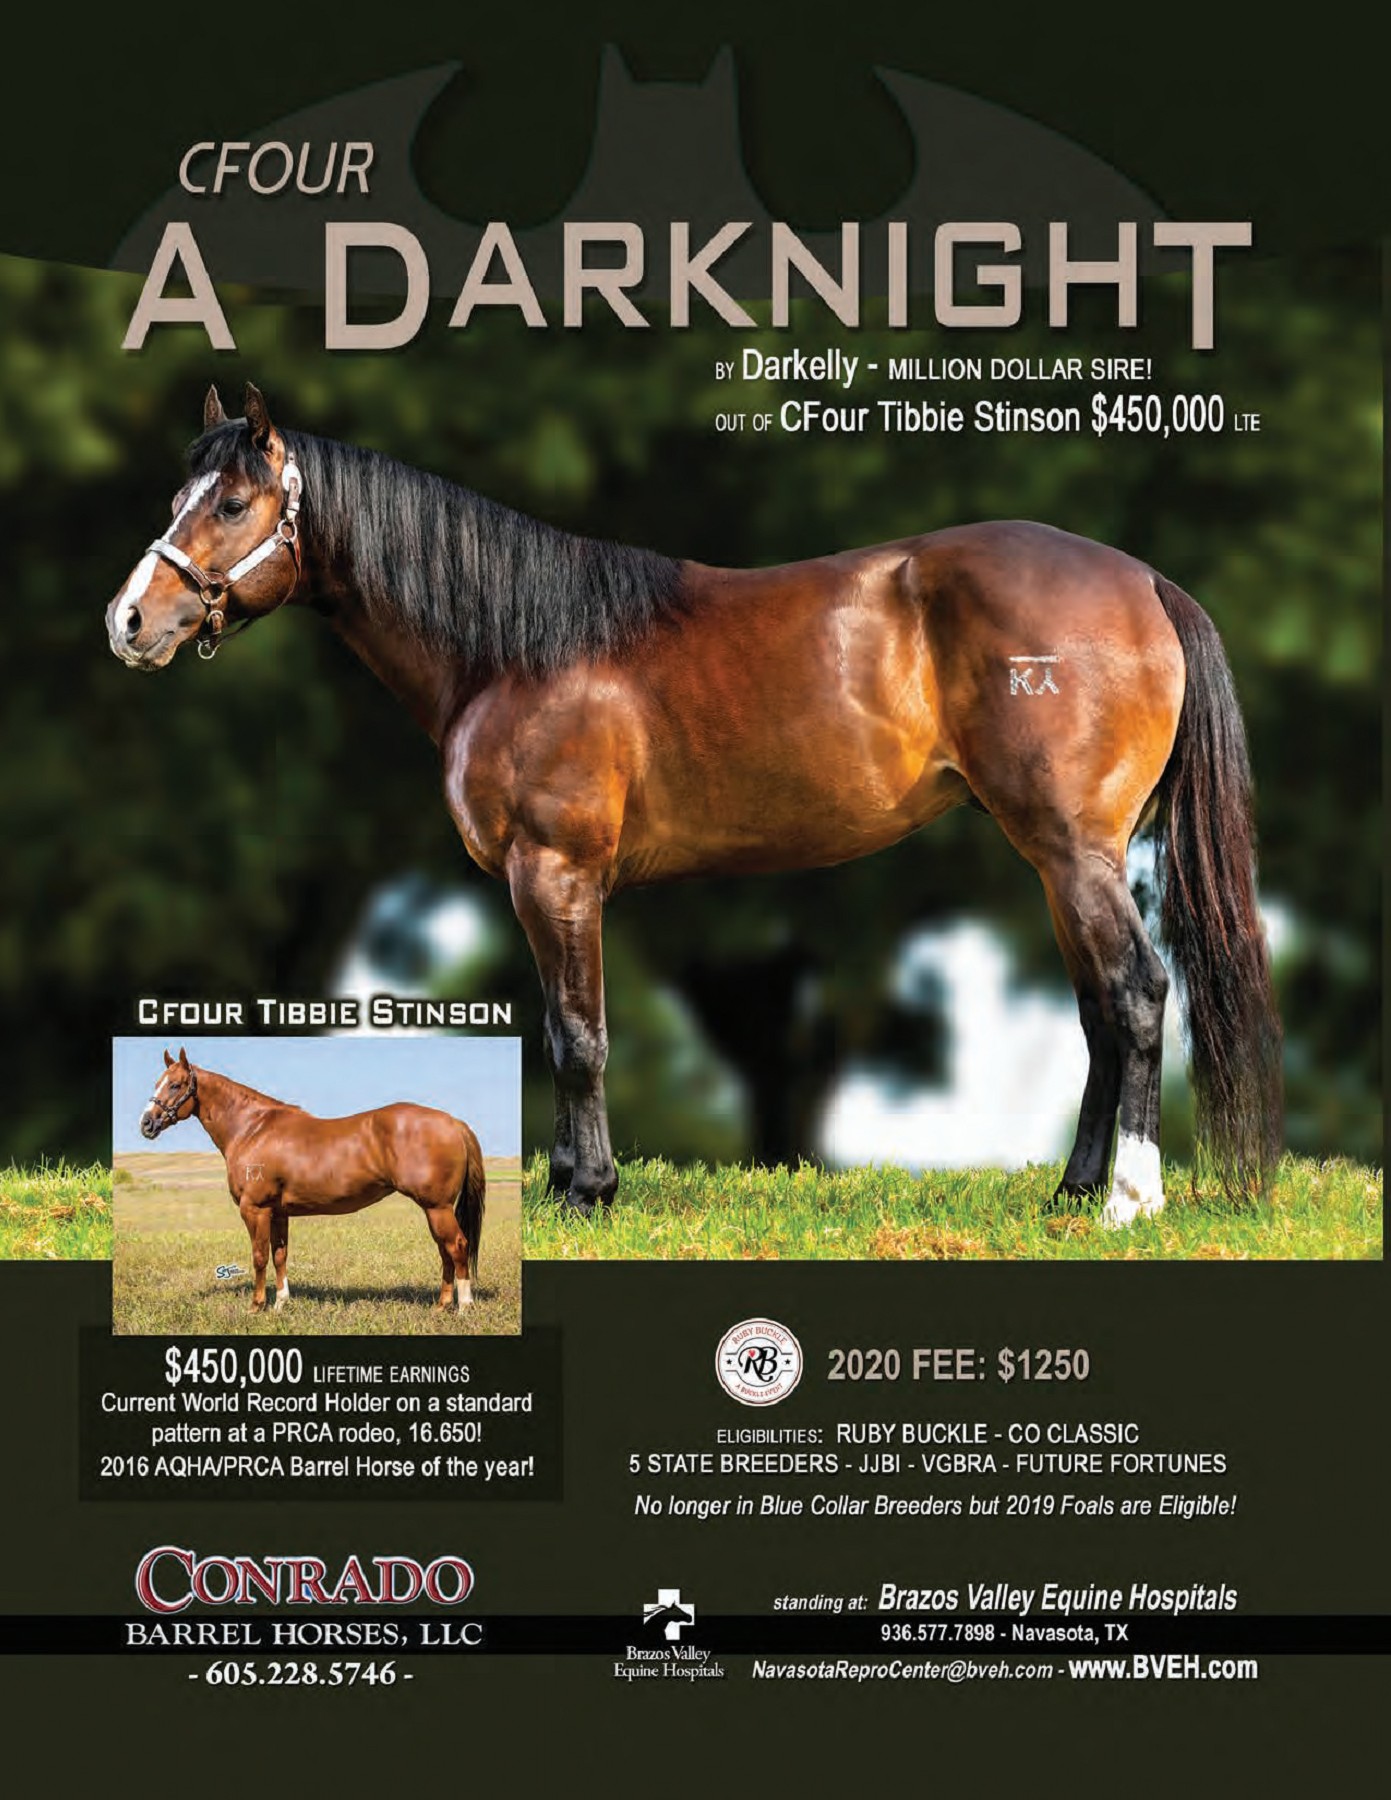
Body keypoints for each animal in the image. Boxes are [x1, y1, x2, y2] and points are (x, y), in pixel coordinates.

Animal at [107, 385, 1282, 1228]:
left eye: (231, 504)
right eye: (175, 504)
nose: (129, 621)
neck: (511, 649)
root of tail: (1142, 582)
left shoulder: (557, 872)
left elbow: (579, 1035)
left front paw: (589, 1195)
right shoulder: (543, 887)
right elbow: (557, 1025)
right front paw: (567, 1185)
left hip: (1073, 851)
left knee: (1136, 995)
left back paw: (1129, 1201)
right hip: (1059, 860)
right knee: (1099, 1011)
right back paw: (1070, 1193)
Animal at [137, 1047, 486, 1311]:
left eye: (176, 1085)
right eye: (157, 1082)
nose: (147, 1123)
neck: (252, 1129)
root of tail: (454, 1123)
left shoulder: (255, 1208)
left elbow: (259, 1256)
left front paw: (256, 1306)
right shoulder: (278, 1212)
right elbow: (279, 1255)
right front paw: (281, 1303)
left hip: (437, 1207)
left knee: (457, 1246)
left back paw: (464, 1307)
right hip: (434, 1209)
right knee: (444, 1250)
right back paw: (441, 1306)